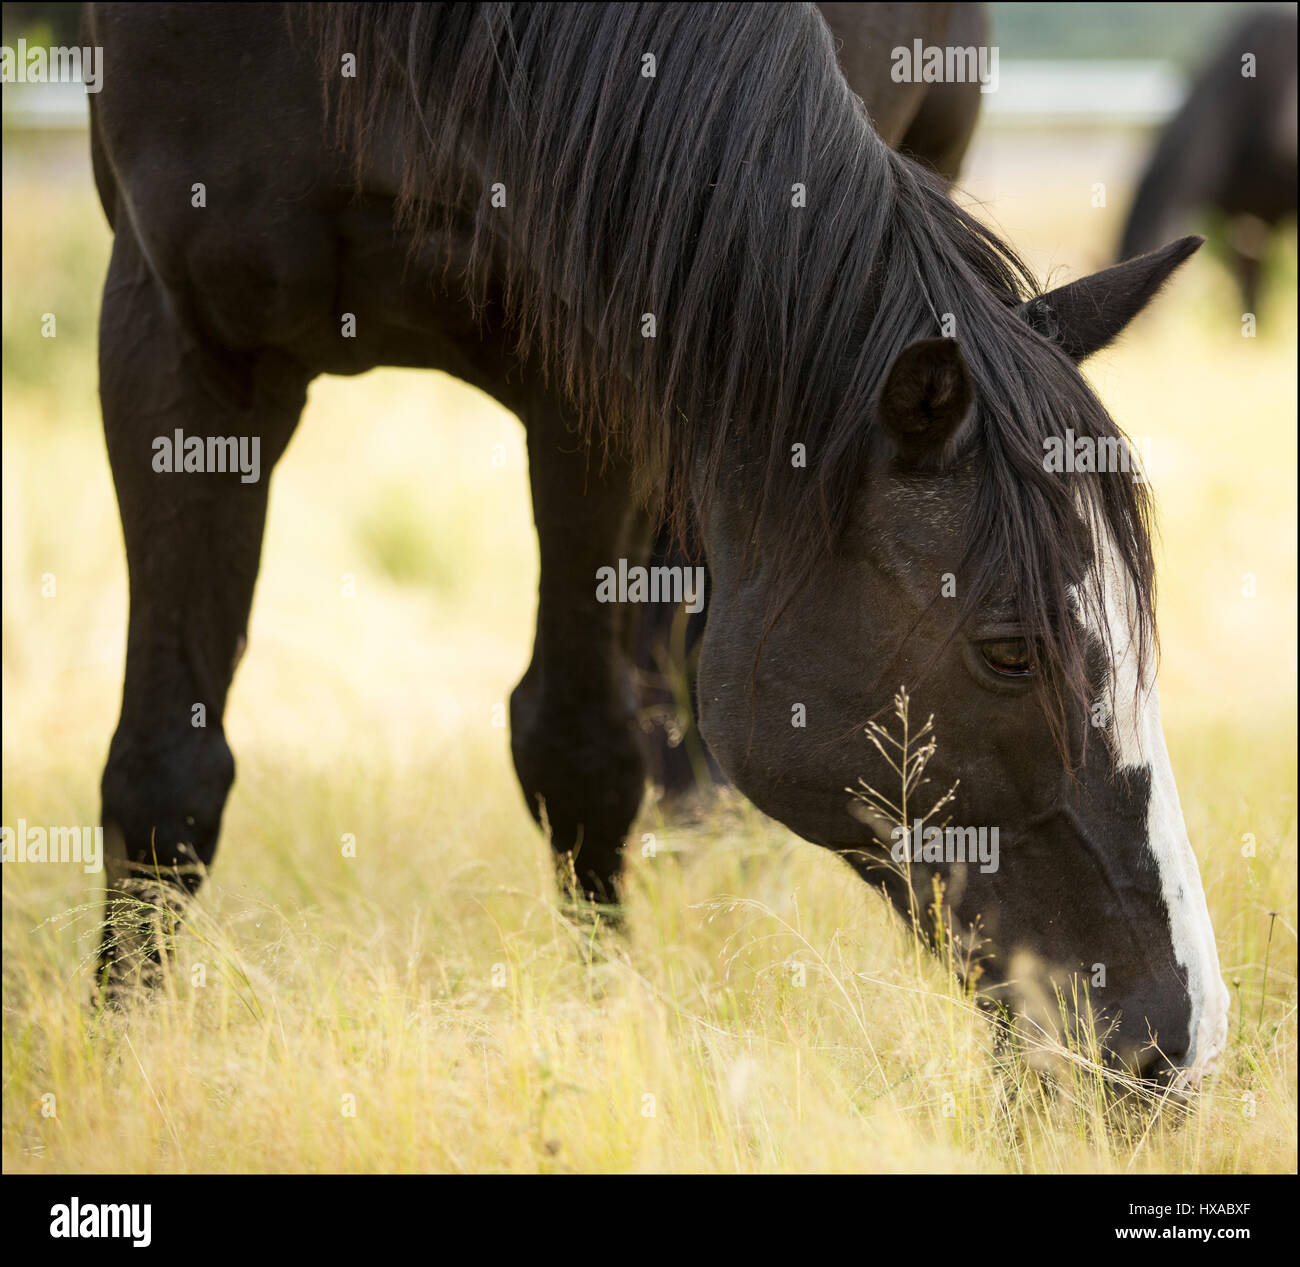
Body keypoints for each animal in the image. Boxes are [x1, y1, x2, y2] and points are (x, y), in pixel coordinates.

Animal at [86, 2, 1228, 1087]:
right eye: (1009, 651)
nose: (1178, 1040)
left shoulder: (593, 379)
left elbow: (578, 751)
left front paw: (597, 1028)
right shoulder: (175, 339)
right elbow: (166, 772)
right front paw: (121, 1049)